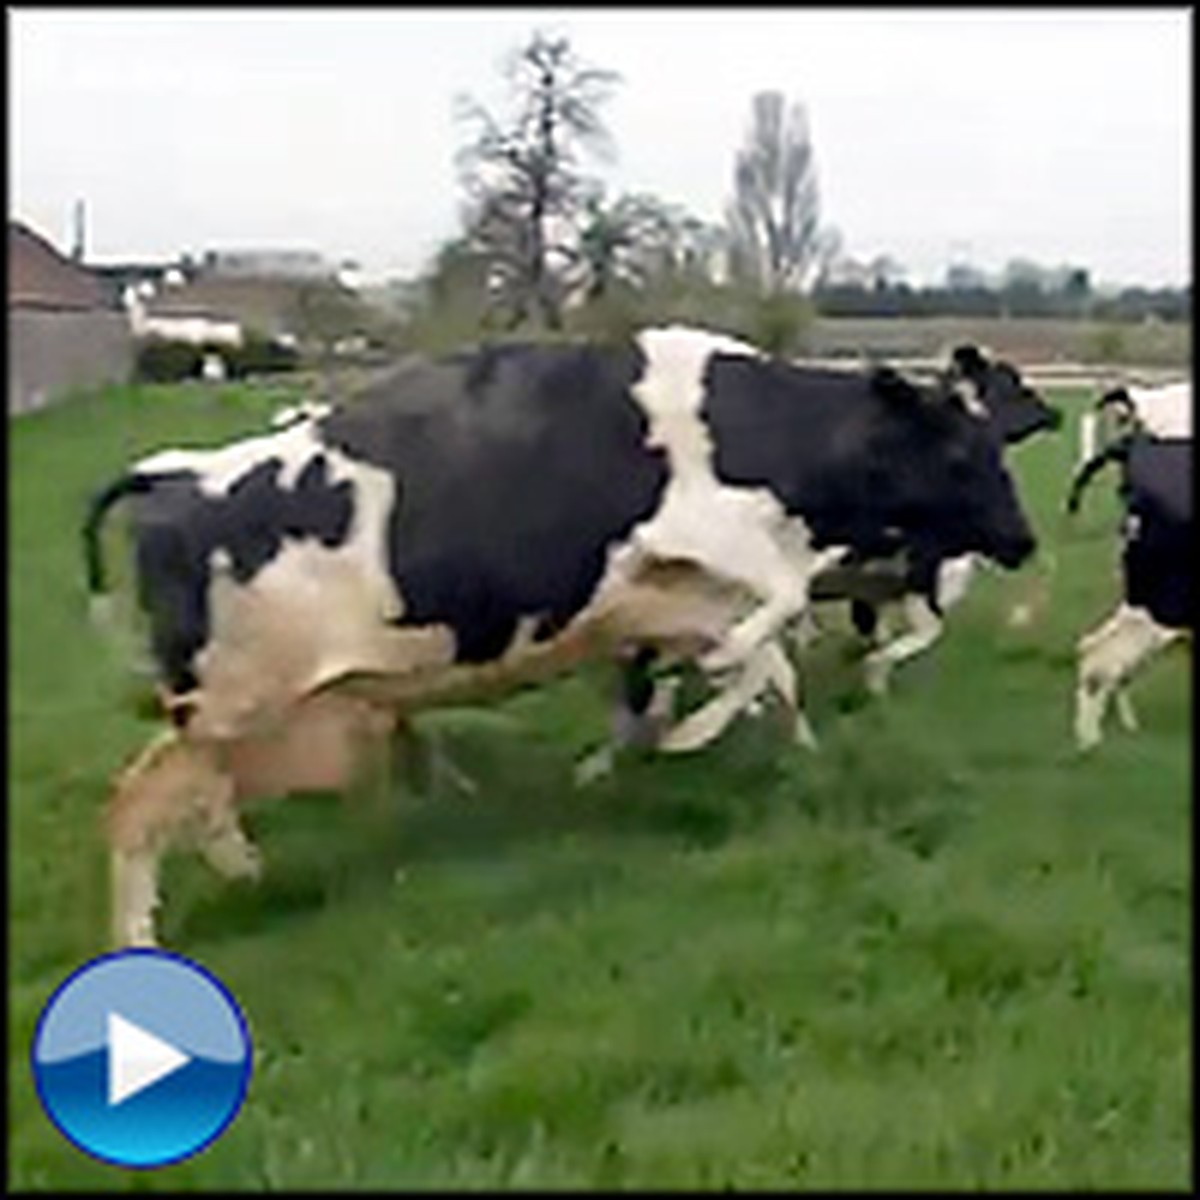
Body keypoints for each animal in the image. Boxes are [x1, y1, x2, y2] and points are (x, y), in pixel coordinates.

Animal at [84, 326, 1036, 946]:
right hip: (238, 705)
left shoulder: (666, 602)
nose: (1024, 540)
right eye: (962, 453)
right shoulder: (701, 541)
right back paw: (145, 934)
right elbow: (773, 614)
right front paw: (691, 721)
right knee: (141, 804)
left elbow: (766, 662)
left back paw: (248, 863)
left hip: (285, 716)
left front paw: (706, 732)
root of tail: (176, 475)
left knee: (199, 797)